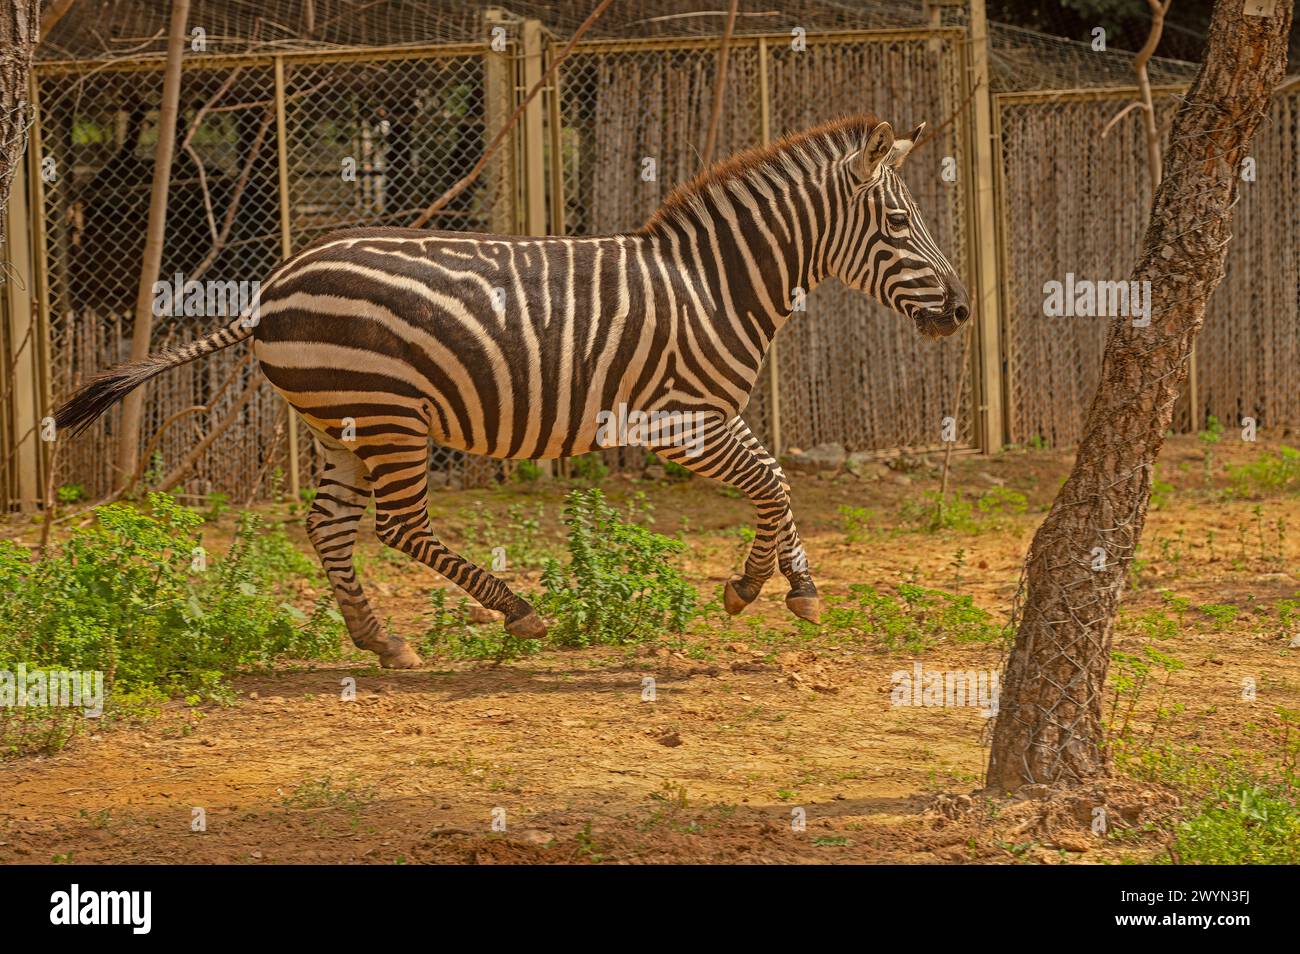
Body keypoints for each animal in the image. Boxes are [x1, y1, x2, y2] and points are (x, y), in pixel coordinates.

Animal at [55, 115, 970, 669]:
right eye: (898, 225)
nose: (962, 310)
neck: (714, 285)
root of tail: (269, 290)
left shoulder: (714, 416)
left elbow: (774, 482)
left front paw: (786, 584)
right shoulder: (678, 420)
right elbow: (773, 485)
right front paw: (763, 589)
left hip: (339, 422)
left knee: (330, 527)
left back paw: (380, 639)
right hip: (389, 414)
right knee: (399, 526)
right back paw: (517, 610)